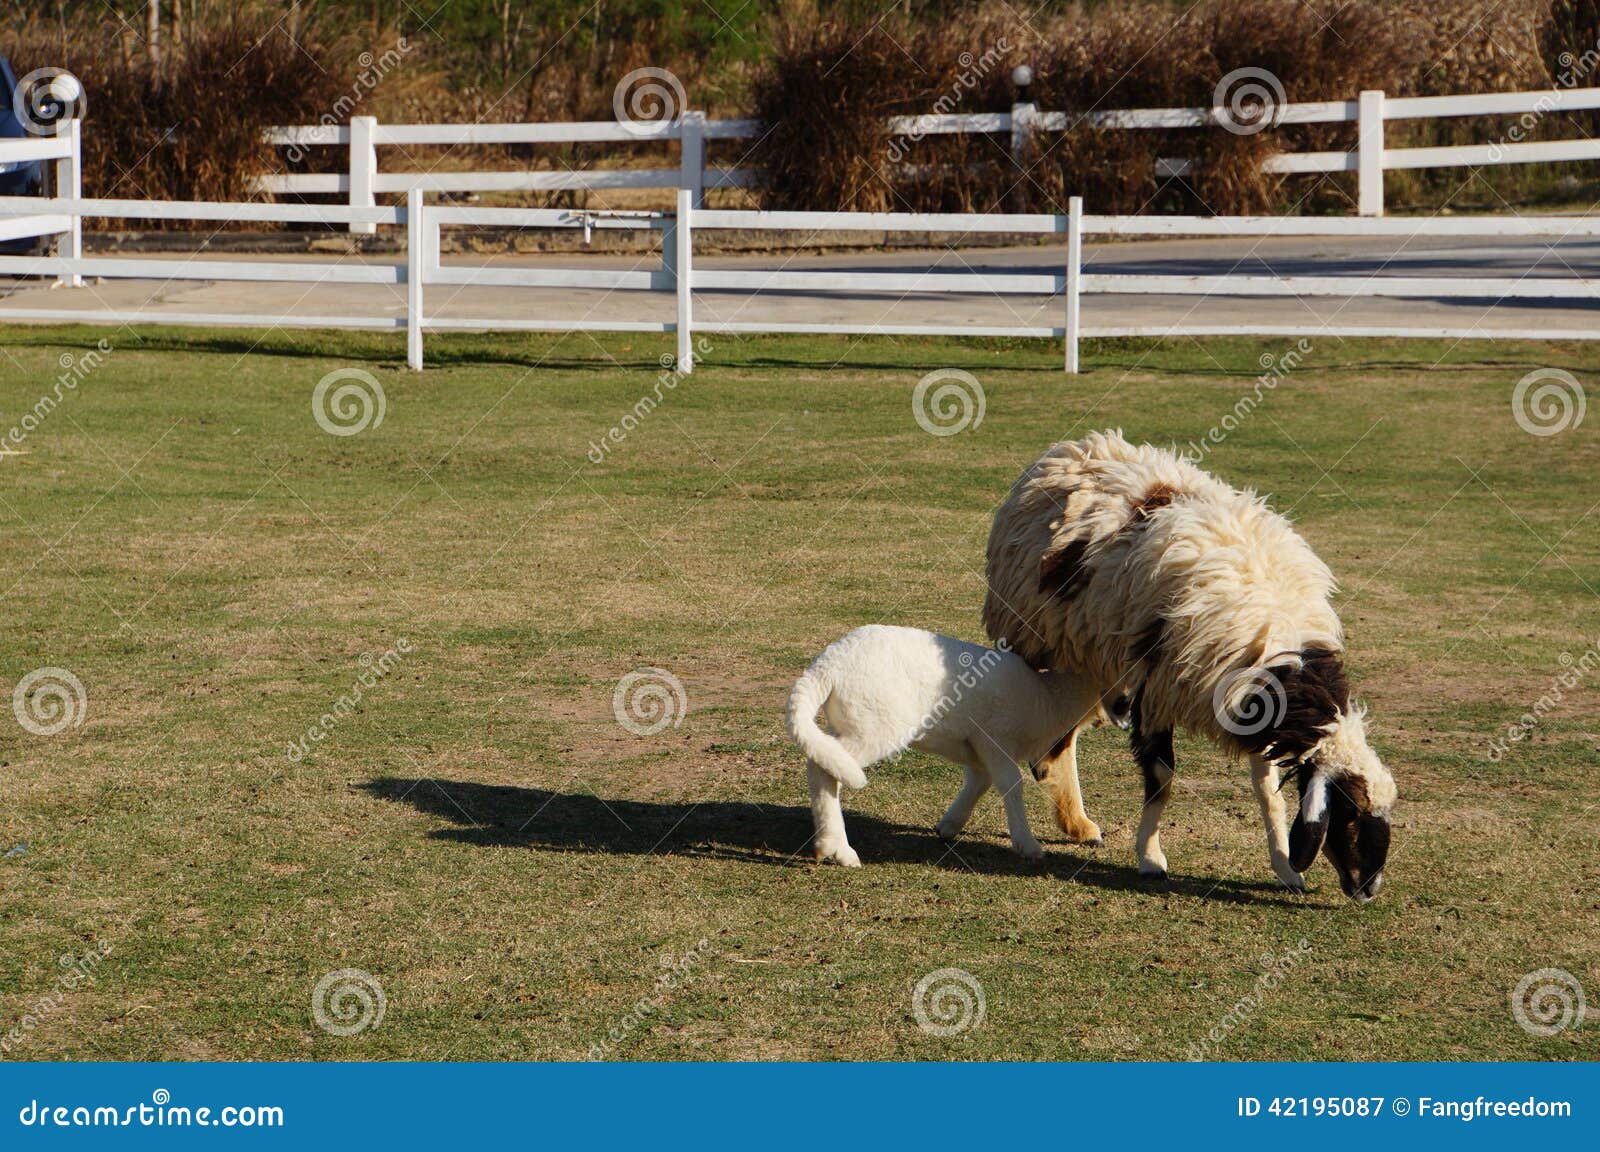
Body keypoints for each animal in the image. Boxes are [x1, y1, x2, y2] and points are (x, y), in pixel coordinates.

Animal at [786, 624, 1117, 866]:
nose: (1120, 711)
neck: (1047, 697)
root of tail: (825, 668)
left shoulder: (976, 750)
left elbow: (980, 782)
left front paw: (948, 825)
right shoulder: (994, 739)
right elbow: (1011, 784)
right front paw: (1028, 845)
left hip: (847, 723)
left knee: (822, 759)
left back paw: (824, 846)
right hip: (873, 727)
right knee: (822, 769)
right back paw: (838, 850)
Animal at [982, 430, 1396, 901]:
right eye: (1351, 812)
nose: (1369, 889)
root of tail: (1077, 447)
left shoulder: (1253, 707)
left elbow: (1268, 791)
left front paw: (1286, 869)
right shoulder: (1158, 687)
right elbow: (1162, 778)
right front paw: (1150, 859)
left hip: (1088, 654)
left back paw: (1075, 819)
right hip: (1035, 636)